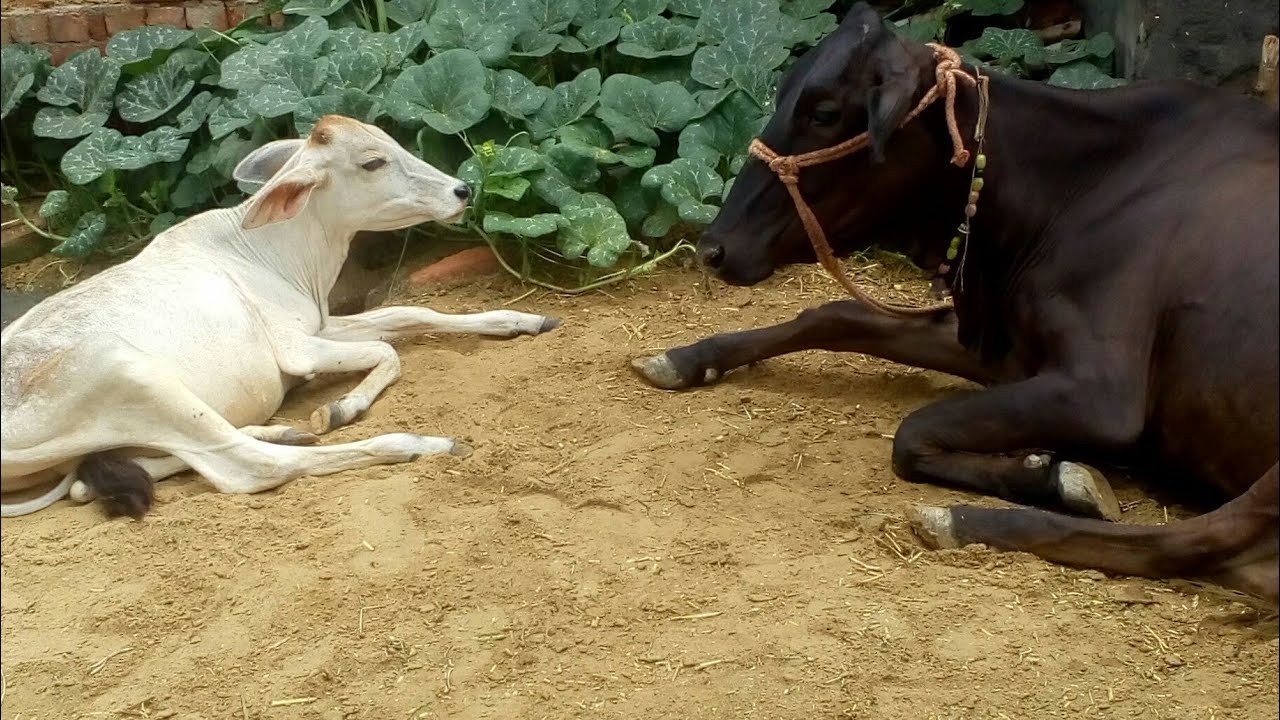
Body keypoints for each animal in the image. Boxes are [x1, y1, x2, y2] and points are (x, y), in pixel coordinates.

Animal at [2, 115, 560, 519]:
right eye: (373, 162)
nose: (461, 191)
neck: (269, 249)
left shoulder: (321, 323)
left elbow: (411, 313)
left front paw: (523, 320)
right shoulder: (299, 350)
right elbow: (387, 349)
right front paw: (342, 407)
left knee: (91, 481)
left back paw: (285, 431)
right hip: (128, 371)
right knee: (251, 467)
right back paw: (417, 443)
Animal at [631, 4, 1279, 604]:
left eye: (824, 112)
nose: (712, 249)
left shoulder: (1100, 393)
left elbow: (911, 432)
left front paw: (1058, 479)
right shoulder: (1002, 344)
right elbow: (833, 314)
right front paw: (687, 357)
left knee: (1193, 538)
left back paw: (962, 521)